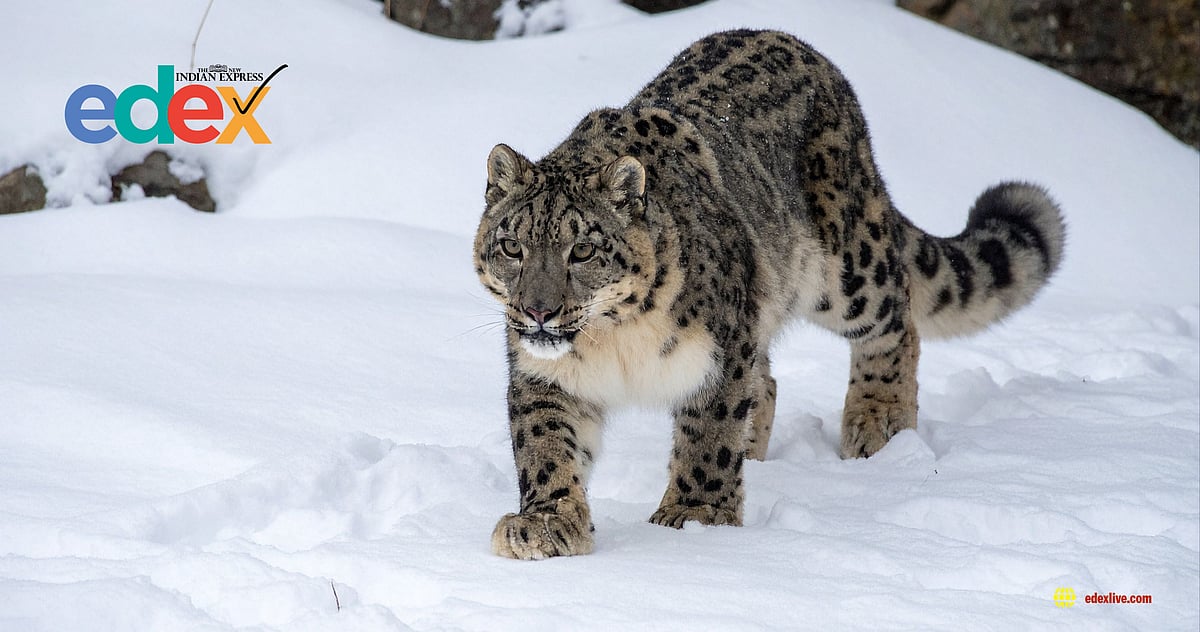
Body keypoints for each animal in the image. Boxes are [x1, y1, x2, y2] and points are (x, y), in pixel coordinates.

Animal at [472, 29, 1065, 560]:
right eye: (513, 246)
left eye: (582, 250)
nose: (539, 310)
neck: (614, 341)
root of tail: (807, 51)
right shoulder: (544, 375)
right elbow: (546, 444)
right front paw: (545, 525)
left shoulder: (720, 353)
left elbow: (708, 435)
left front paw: (694, 517)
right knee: (769, 381)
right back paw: (757, 455)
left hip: (848, 269)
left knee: (896, 323)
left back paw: (877, 426)